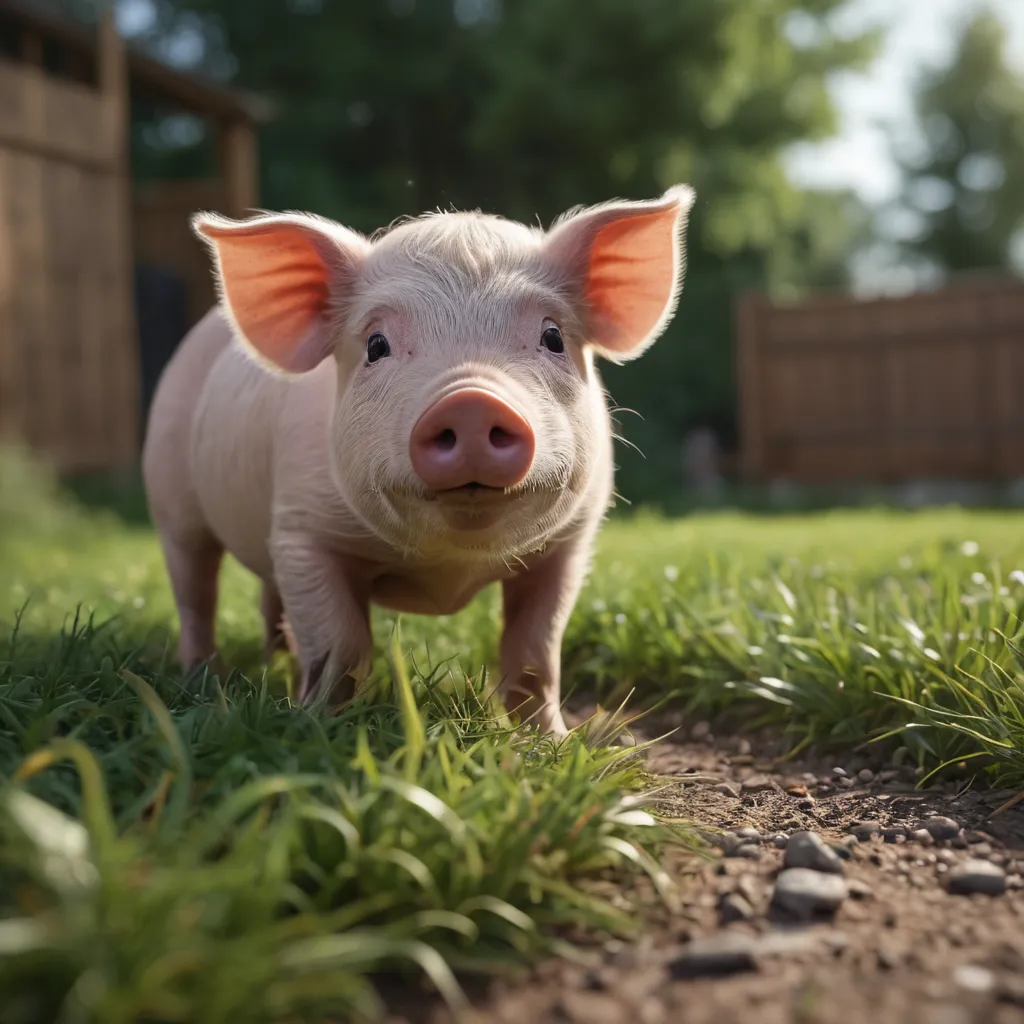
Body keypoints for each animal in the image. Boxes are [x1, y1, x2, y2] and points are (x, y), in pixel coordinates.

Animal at [141, 184, 696, 736]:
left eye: (553, 337)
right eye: (376, 345)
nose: (471, 401)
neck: (449, 565)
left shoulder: (569, 544)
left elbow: (536, 651)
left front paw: (553, 741)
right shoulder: (303, 531)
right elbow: (342, 645)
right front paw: (316, 727)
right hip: (172, 498)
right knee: (196, 591)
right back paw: (203, 683)